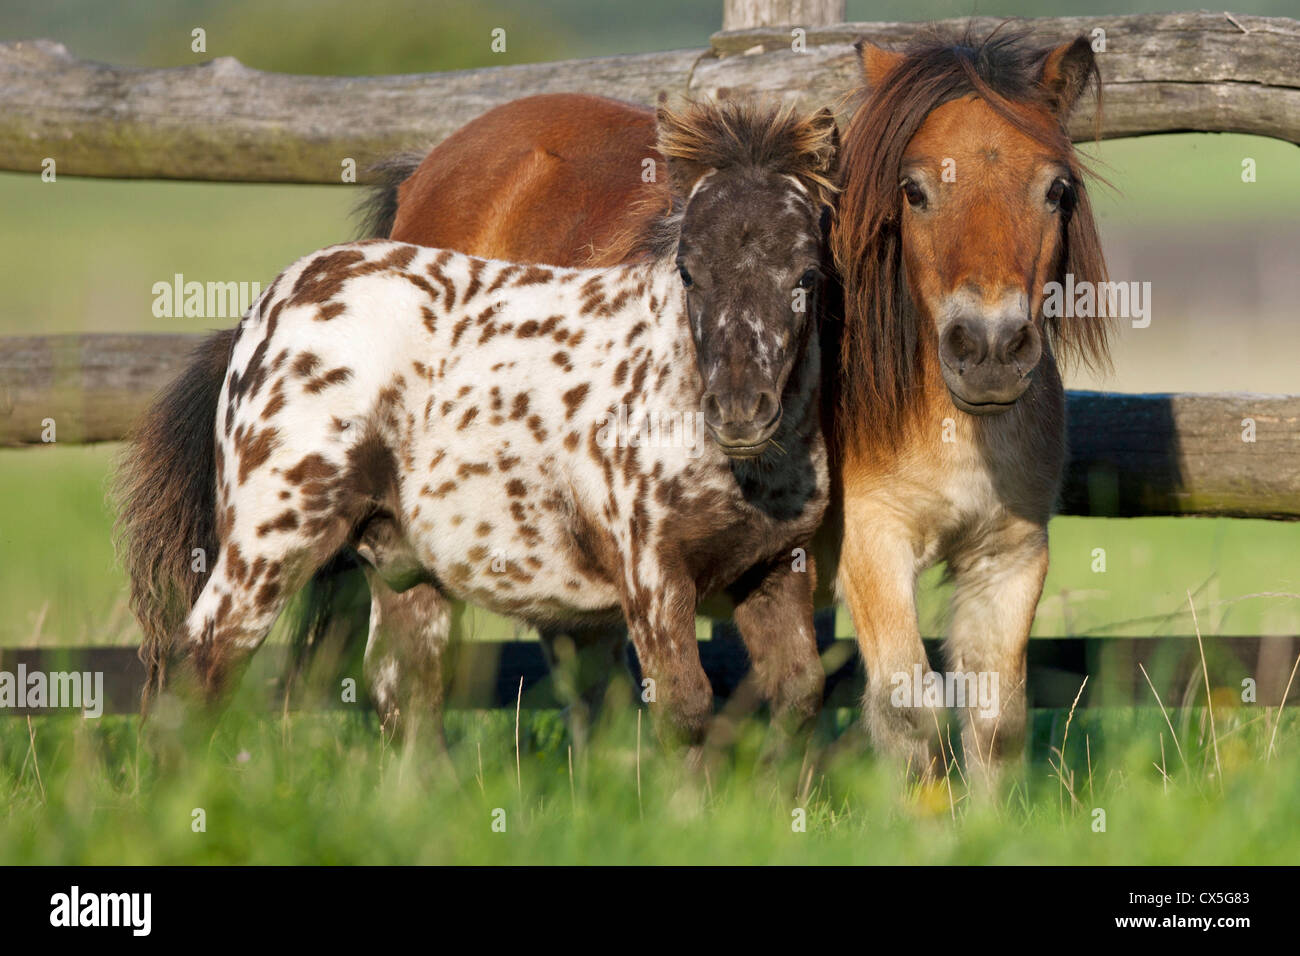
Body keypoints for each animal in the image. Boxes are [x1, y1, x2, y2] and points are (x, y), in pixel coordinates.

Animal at [114, 100, 840, 746]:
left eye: (806, 275)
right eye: (689, 272)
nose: (740, 410)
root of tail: (269, 307)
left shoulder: (776, 568)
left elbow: (798, 695)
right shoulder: (653, 576)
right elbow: (685, 709)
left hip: (401, 563)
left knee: (403, 687)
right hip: (271, 539)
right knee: (203, 658)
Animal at [341, 27, 1114, 779]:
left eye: (1056, 190)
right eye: (914, 190)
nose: (988, 348)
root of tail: (430, 168)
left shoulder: (1009, 558)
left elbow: (995, 729)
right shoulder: (874, 549)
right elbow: (908, 718)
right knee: (406, 673)